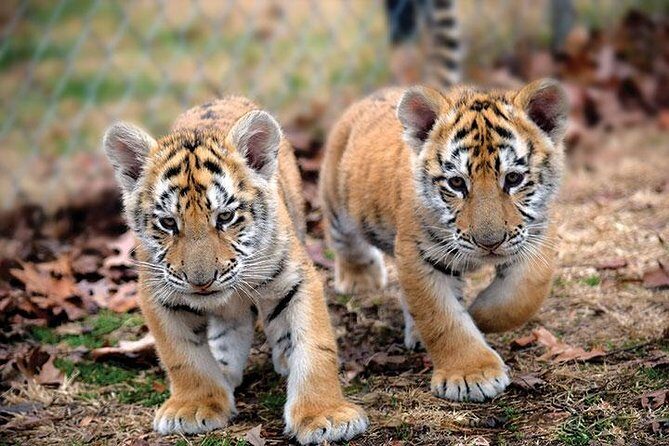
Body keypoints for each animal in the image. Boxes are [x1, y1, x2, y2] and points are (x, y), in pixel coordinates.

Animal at [102, 96, 368, 444]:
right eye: (168, 223)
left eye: (225, 217)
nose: (201, 281)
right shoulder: (158, 293)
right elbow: (183, 356)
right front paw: (195, 406)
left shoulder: (295, 279)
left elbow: (314, 346)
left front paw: (325, 415)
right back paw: (225, 367)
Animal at [319, 78, 567, 401]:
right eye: (457, 183)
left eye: (513, 179)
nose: (489, 243)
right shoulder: (419, 255)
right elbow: (442, 318)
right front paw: (471, 374)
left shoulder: (536, 235)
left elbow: (523, 293)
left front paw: (479, 316)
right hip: (338, 204)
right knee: (346, 241)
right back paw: (361, 280)